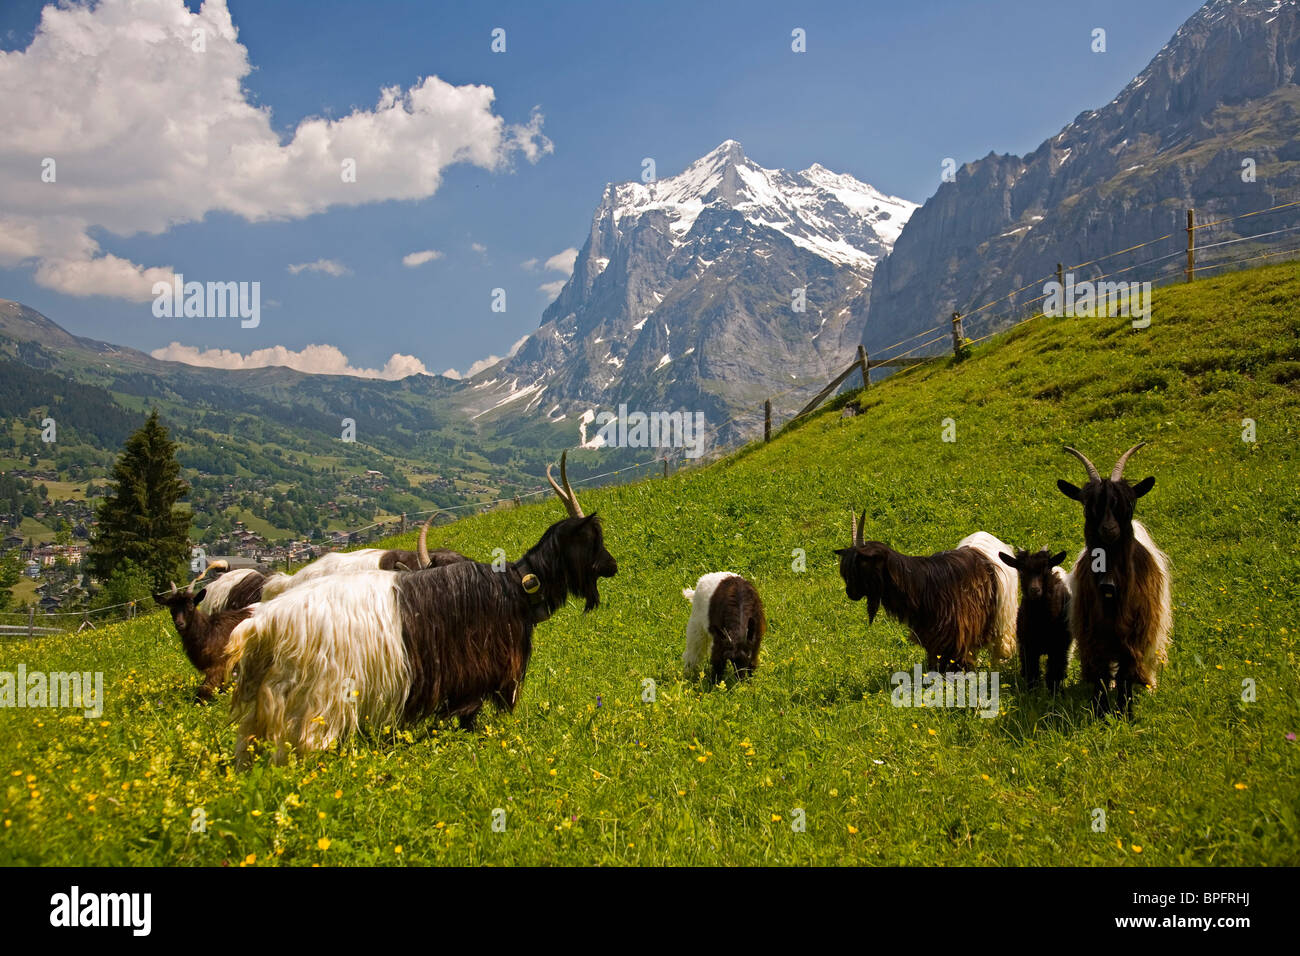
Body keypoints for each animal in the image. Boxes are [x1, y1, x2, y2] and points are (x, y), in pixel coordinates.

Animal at [153, 571, 258, 701]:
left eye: (191, 607)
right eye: (172, 609)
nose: (179, 624)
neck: (207, 631)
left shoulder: (218, 665)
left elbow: (204, 690)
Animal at [225, 451, 616, 766]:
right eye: (593, 539)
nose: (613, 566)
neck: (515, 587)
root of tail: (262, 626)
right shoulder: (486, 674)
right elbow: (471, 716)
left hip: (265, 710)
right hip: (313, 703)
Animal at [835, 512, 1018, 671]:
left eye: (862, 565)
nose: (850, 593)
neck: (921, 585)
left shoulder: (957, 634)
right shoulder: (934, 638)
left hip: (1003, 616)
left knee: (1002, 646)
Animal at [998, 548, 1072, 691]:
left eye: (1045, 570)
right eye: (1021, 571)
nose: (1035, 590)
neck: (1041, 622)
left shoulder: (1058, 647)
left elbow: (1054, 672)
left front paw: (1054, 693)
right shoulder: (1028, 646)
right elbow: (1031, 671)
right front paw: (1032, 692)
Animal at [1058, 443, 1172, 715]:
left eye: (1128, 506)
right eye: (1088, 508)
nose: (1109, 529)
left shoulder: (1136, 635)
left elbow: (1126, 674)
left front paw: (1125, 712)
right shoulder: (1092, 636)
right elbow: (1100, 674)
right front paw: (1099, 710)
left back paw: (1149, 684)